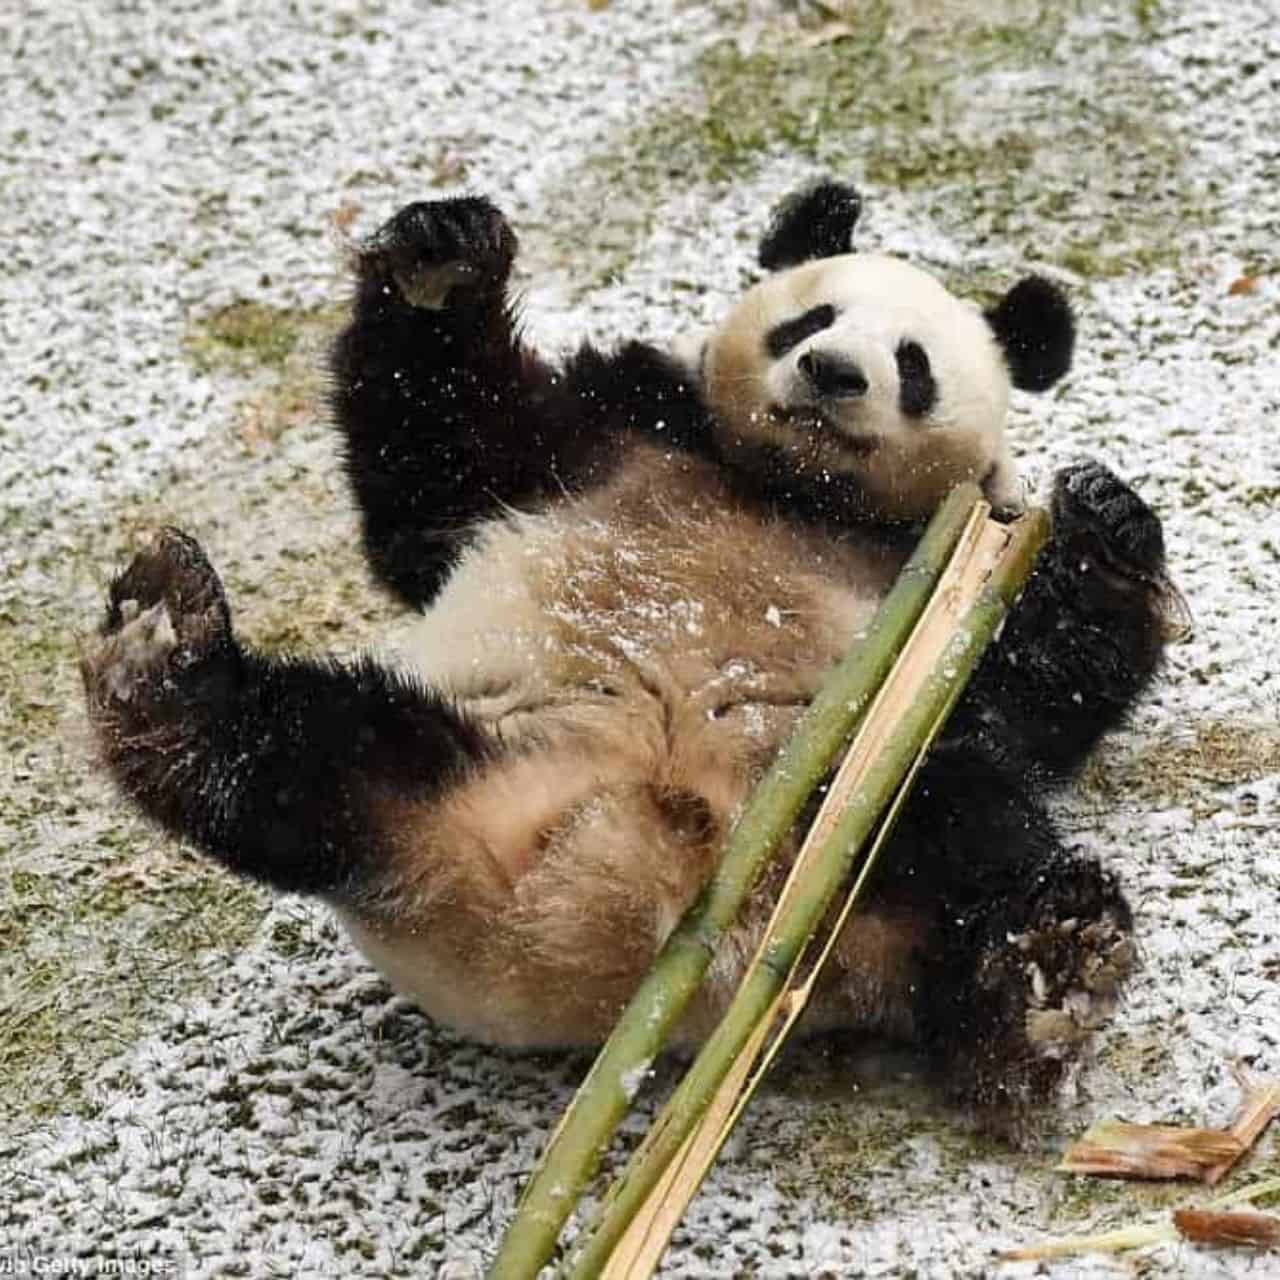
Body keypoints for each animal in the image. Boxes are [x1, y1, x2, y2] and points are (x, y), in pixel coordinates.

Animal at [81, 181, 1174, 1119]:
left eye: (911, 363)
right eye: (809, 320)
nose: (830, 373)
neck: (796, 490)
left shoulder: (944, 583)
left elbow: (1041, 697)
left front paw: (1111, 528)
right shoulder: (610, 434)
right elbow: (436, 474)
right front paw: (442, 257)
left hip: (848, 805)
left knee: (969, 838)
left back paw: (1041, 977)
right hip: (478, 757)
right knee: (306, 759)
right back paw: (166, 671)